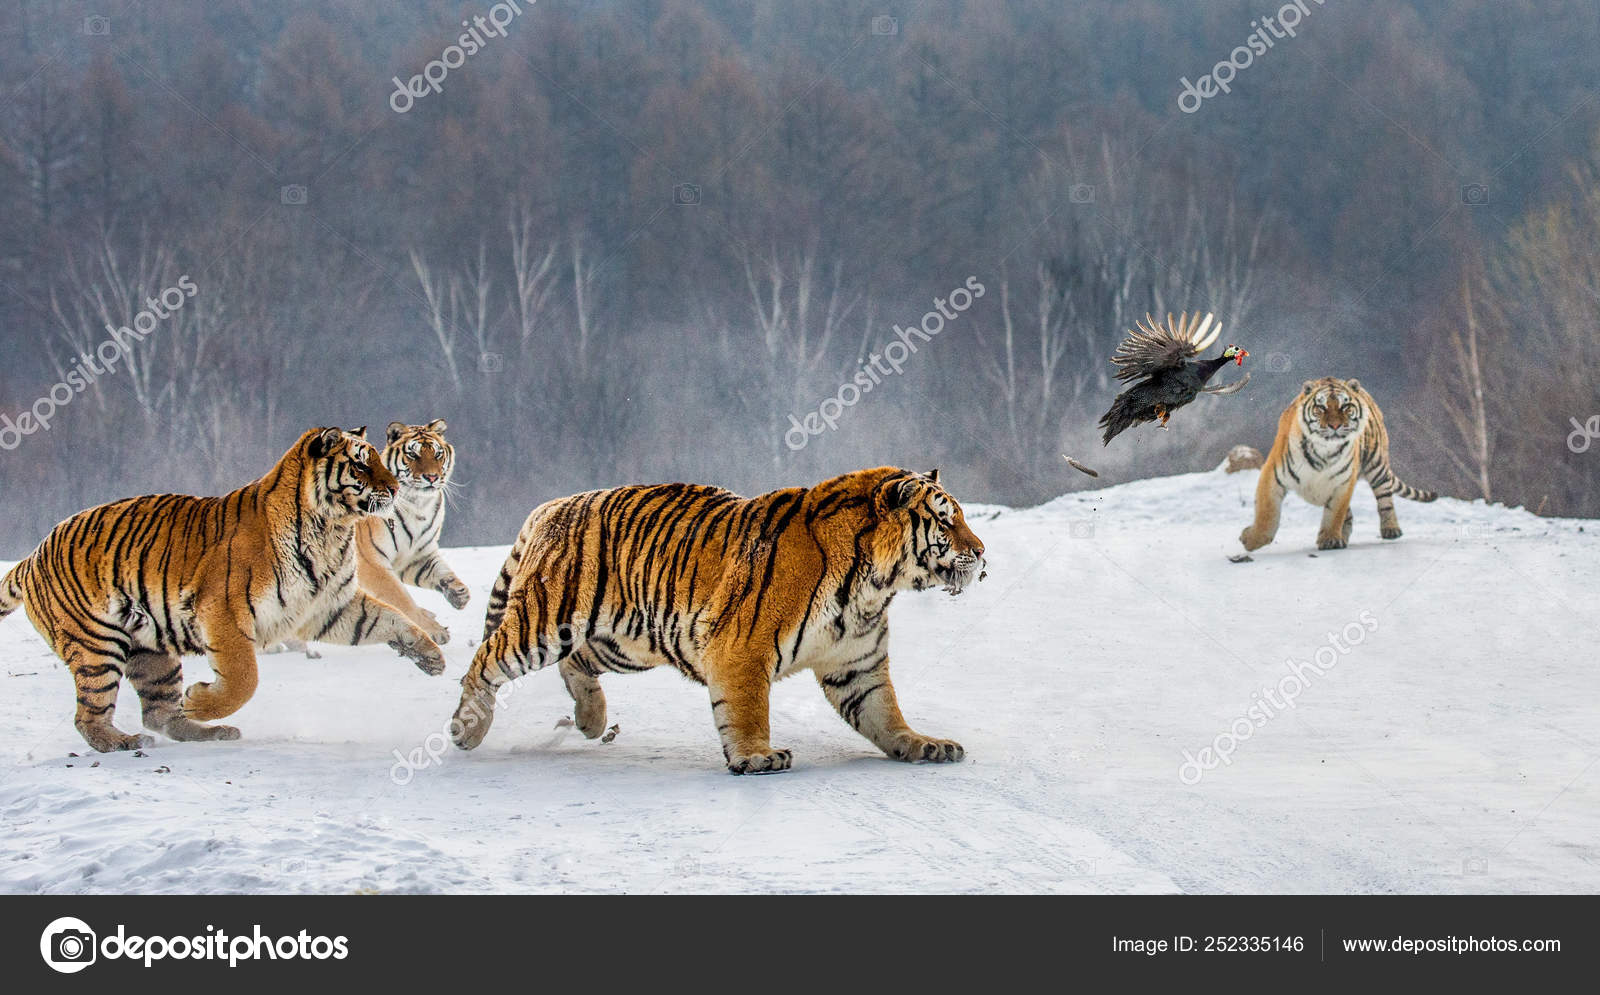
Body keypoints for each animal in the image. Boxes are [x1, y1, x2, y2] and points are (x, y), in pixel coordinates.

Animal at [0, 427, 447, 753]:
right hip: (97, 645)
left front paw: (431, 656)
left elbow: (389, 618)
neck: (331, 530)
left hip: (151, 651)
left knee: (159, 713)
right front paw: (203, 699)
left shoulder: (328, 605)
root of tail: (31, 556)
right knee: (91, 716)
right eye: (360, 466)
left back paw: (207, 729)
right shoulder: (223, 612)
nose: (396, 490)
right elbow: (243, 677)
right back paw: (124, 741)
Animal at [448, 467, 987, 774]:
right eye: (945, 520)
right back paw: (466, 731)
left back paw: (590, 719)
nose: (981, 551)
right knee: (486, 660)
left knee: (574, 663)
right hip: (547, 621)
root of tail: (553, 505)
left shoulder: (857, 664)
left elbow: (885, 713)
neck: (874, 585)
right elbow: (747, 711)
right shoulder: (742, 651)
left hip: (628, 642)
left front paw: (923, 745)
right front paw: (757, 757)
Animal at [1239, 378, 1437, 553]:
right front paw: (1250, 540)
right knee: (1351, 514)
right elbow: (1267, 514)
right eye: (1321, 407)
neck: (1324, 451)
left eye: (1345, 407)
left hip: (1377, 465)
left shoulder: (1343, 482)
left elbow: (1335, 514)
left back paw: (1390, 530)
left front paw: (1329, 539)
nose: (1334, 425)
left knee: (1384, 498)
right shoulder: (1273, 475)